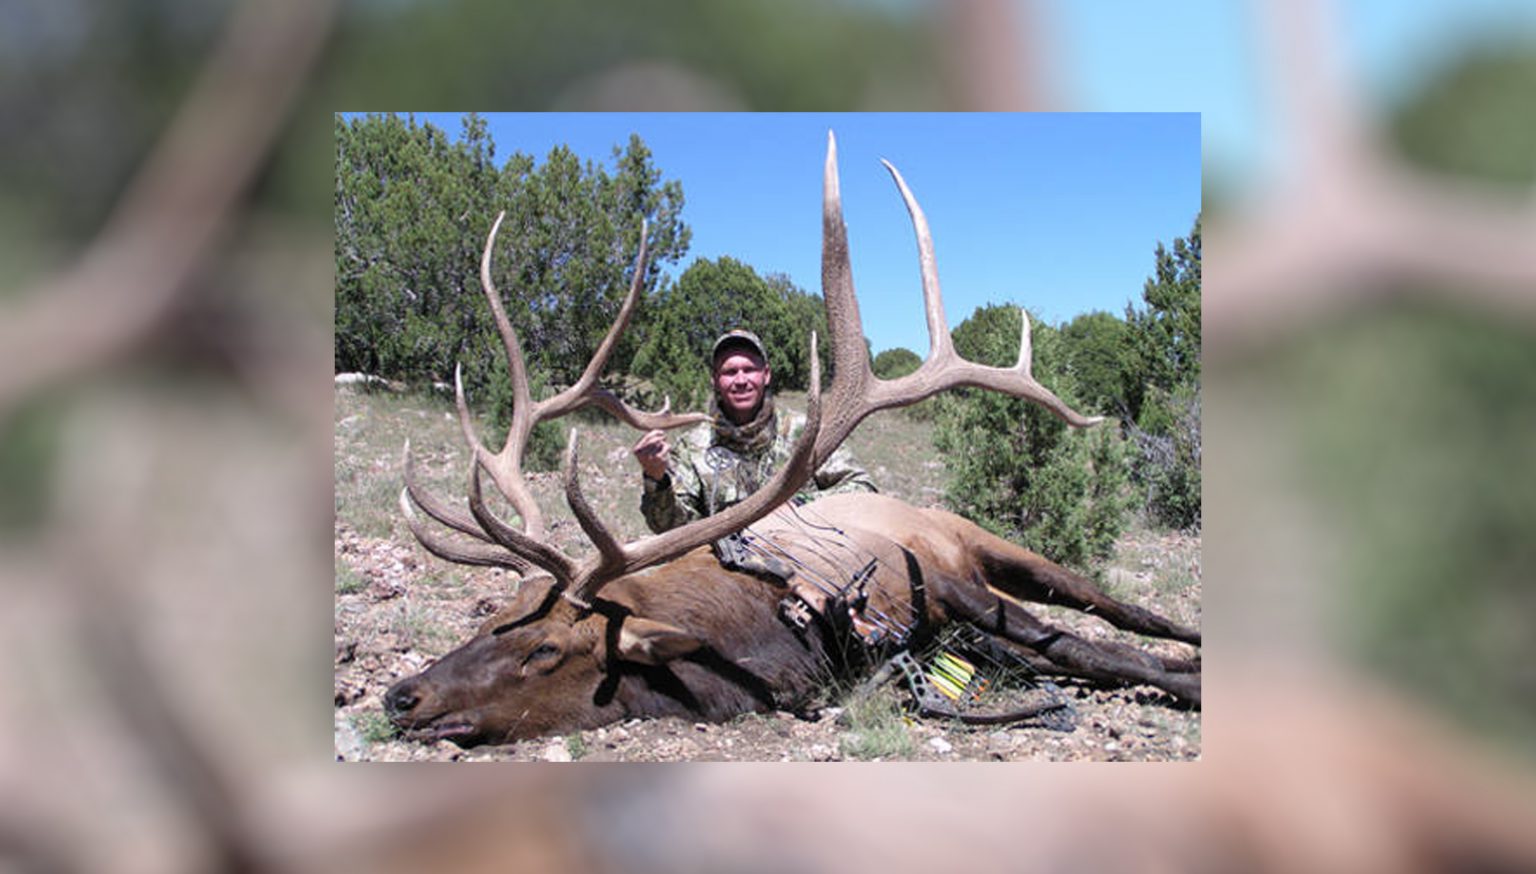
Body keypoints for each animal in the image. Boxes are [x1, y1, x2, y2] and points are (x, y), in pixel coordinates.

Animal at [382, 132, 1200, 747]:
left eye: (545, 649)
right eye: (489, 619)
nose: (402, 695)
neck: (769, 633)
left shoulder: (951, 588)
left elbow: (1105, 650)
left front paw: (1184, 678)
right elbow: (1076, 657)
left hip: (994, 545)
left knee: (1128, 612)